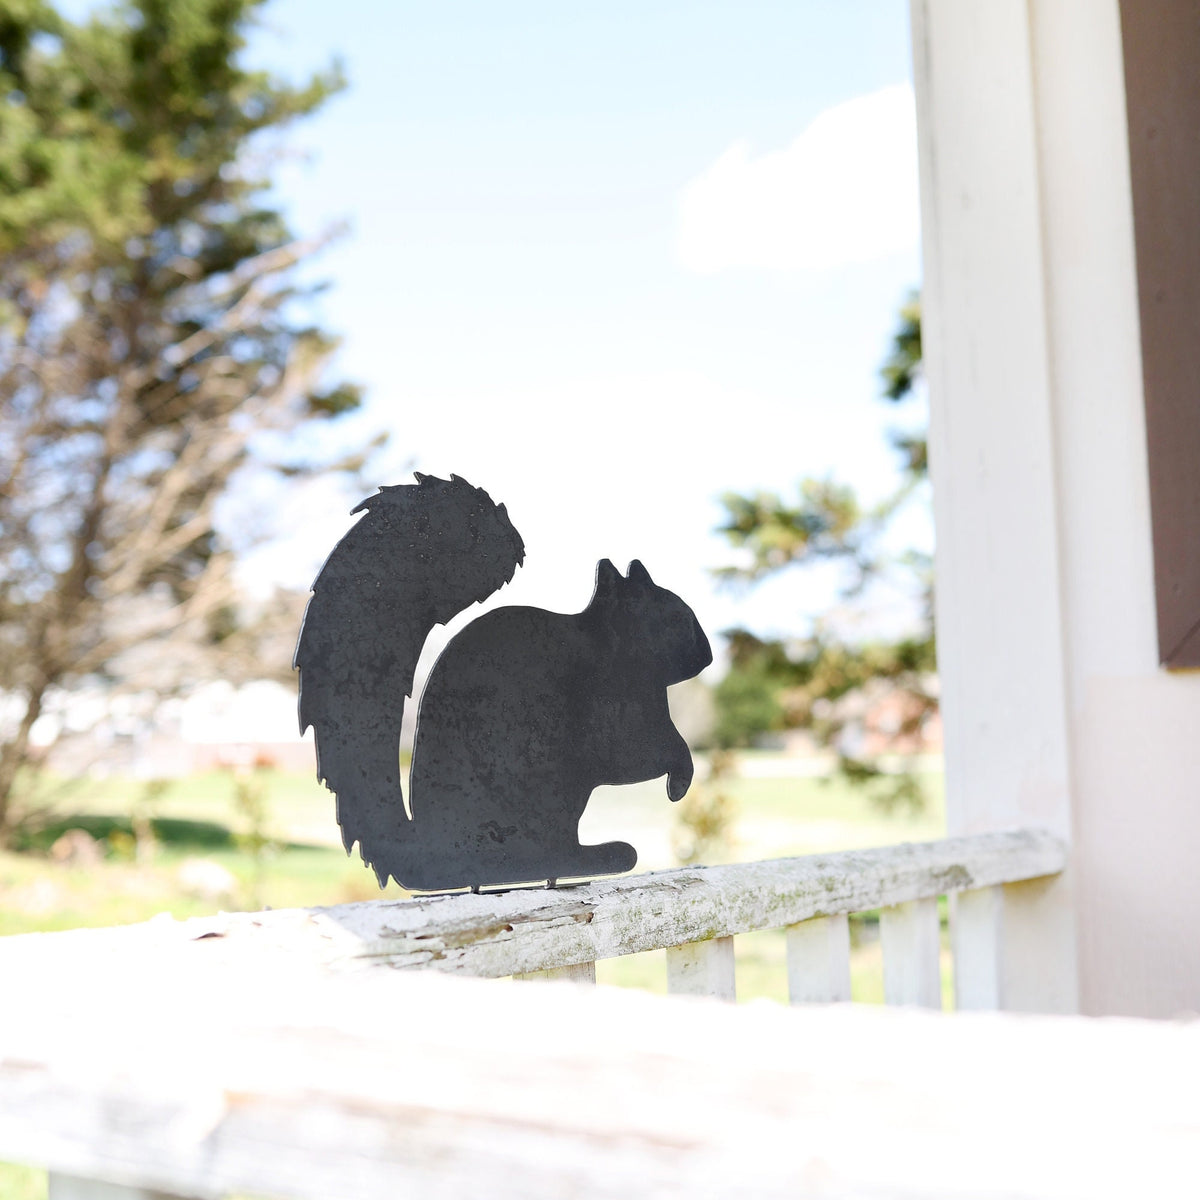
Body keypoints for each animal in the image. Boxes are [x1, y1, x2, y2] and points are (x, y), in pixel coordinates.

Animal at [294, 472, 713, 892]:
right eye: (675, 618)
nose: (707, 655)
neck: (614, 647)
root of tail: (431, 851)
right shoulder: (614, 714)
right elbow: (642, 755)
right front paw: (680, 782)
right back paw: (585, 859)